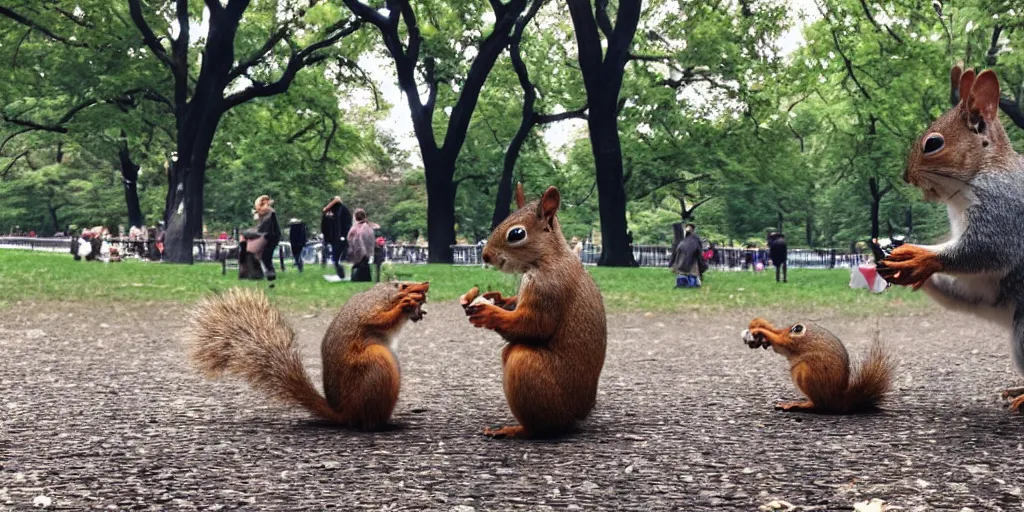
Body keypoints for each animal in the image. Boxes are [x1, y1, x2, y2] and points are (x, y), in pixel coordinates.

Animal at [187, 281, 429, 431]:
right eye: (404, 285)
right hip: (376, 366)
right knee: (367, 424)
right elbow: (383, 319)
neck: (381, 295)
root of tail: (346, 414)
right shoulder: (368, 312)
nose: (426, 284)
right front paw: (405, 304)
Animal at [460, 183, 607, 438]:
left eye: (516, 234)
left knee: (542, 427)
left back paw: (514, 430)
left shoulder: (548, 289)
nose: (485, 256)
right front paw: (495, 298)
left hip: (529, 370)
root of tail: (578, 416)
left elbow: (534, 326)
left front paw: (488, 313)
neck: (548, 258)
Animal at [742, 319, 895, 413]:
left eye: (797, 328)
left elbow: (779, 339)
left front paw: (760, 329)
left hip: (805, 372)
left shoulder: (788, 341)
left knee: (819, 405)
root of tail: (839, 402)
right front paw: (759, 323)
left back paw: (798, 404)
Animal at [877, 64, 1024, 411]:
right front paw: (908, 268)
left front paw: (920, 256)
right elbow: (969, 292)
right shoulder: (984, 288)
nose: (906, 176)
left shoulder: (1003, 210)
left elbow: (985, 250)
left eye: (933, 144)